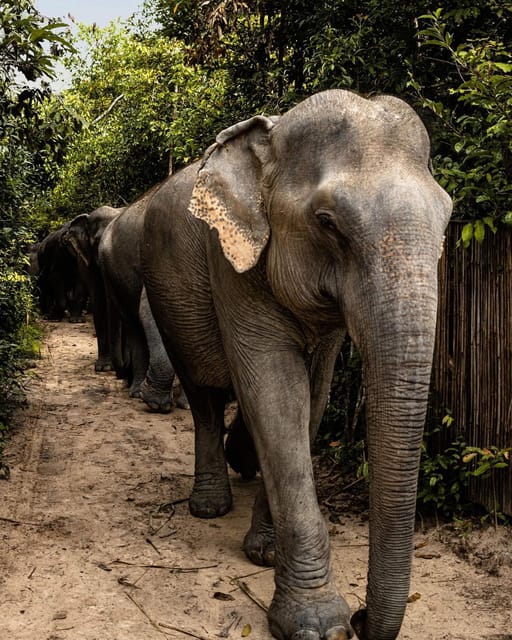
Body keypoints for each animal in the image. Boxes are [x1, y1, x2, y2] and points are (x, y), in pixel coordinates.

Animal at [141, 89, 452, 640]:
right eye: (327, 222)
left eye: (448, 216)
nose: (362, 616)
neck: (271, 138)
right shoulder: (232, 262)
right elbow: (276, 391)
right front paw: (319, 625)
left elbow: (313, 396)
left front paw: (265, 553)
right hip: (168, 298)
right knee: (202, 393)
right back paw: (209, 506)